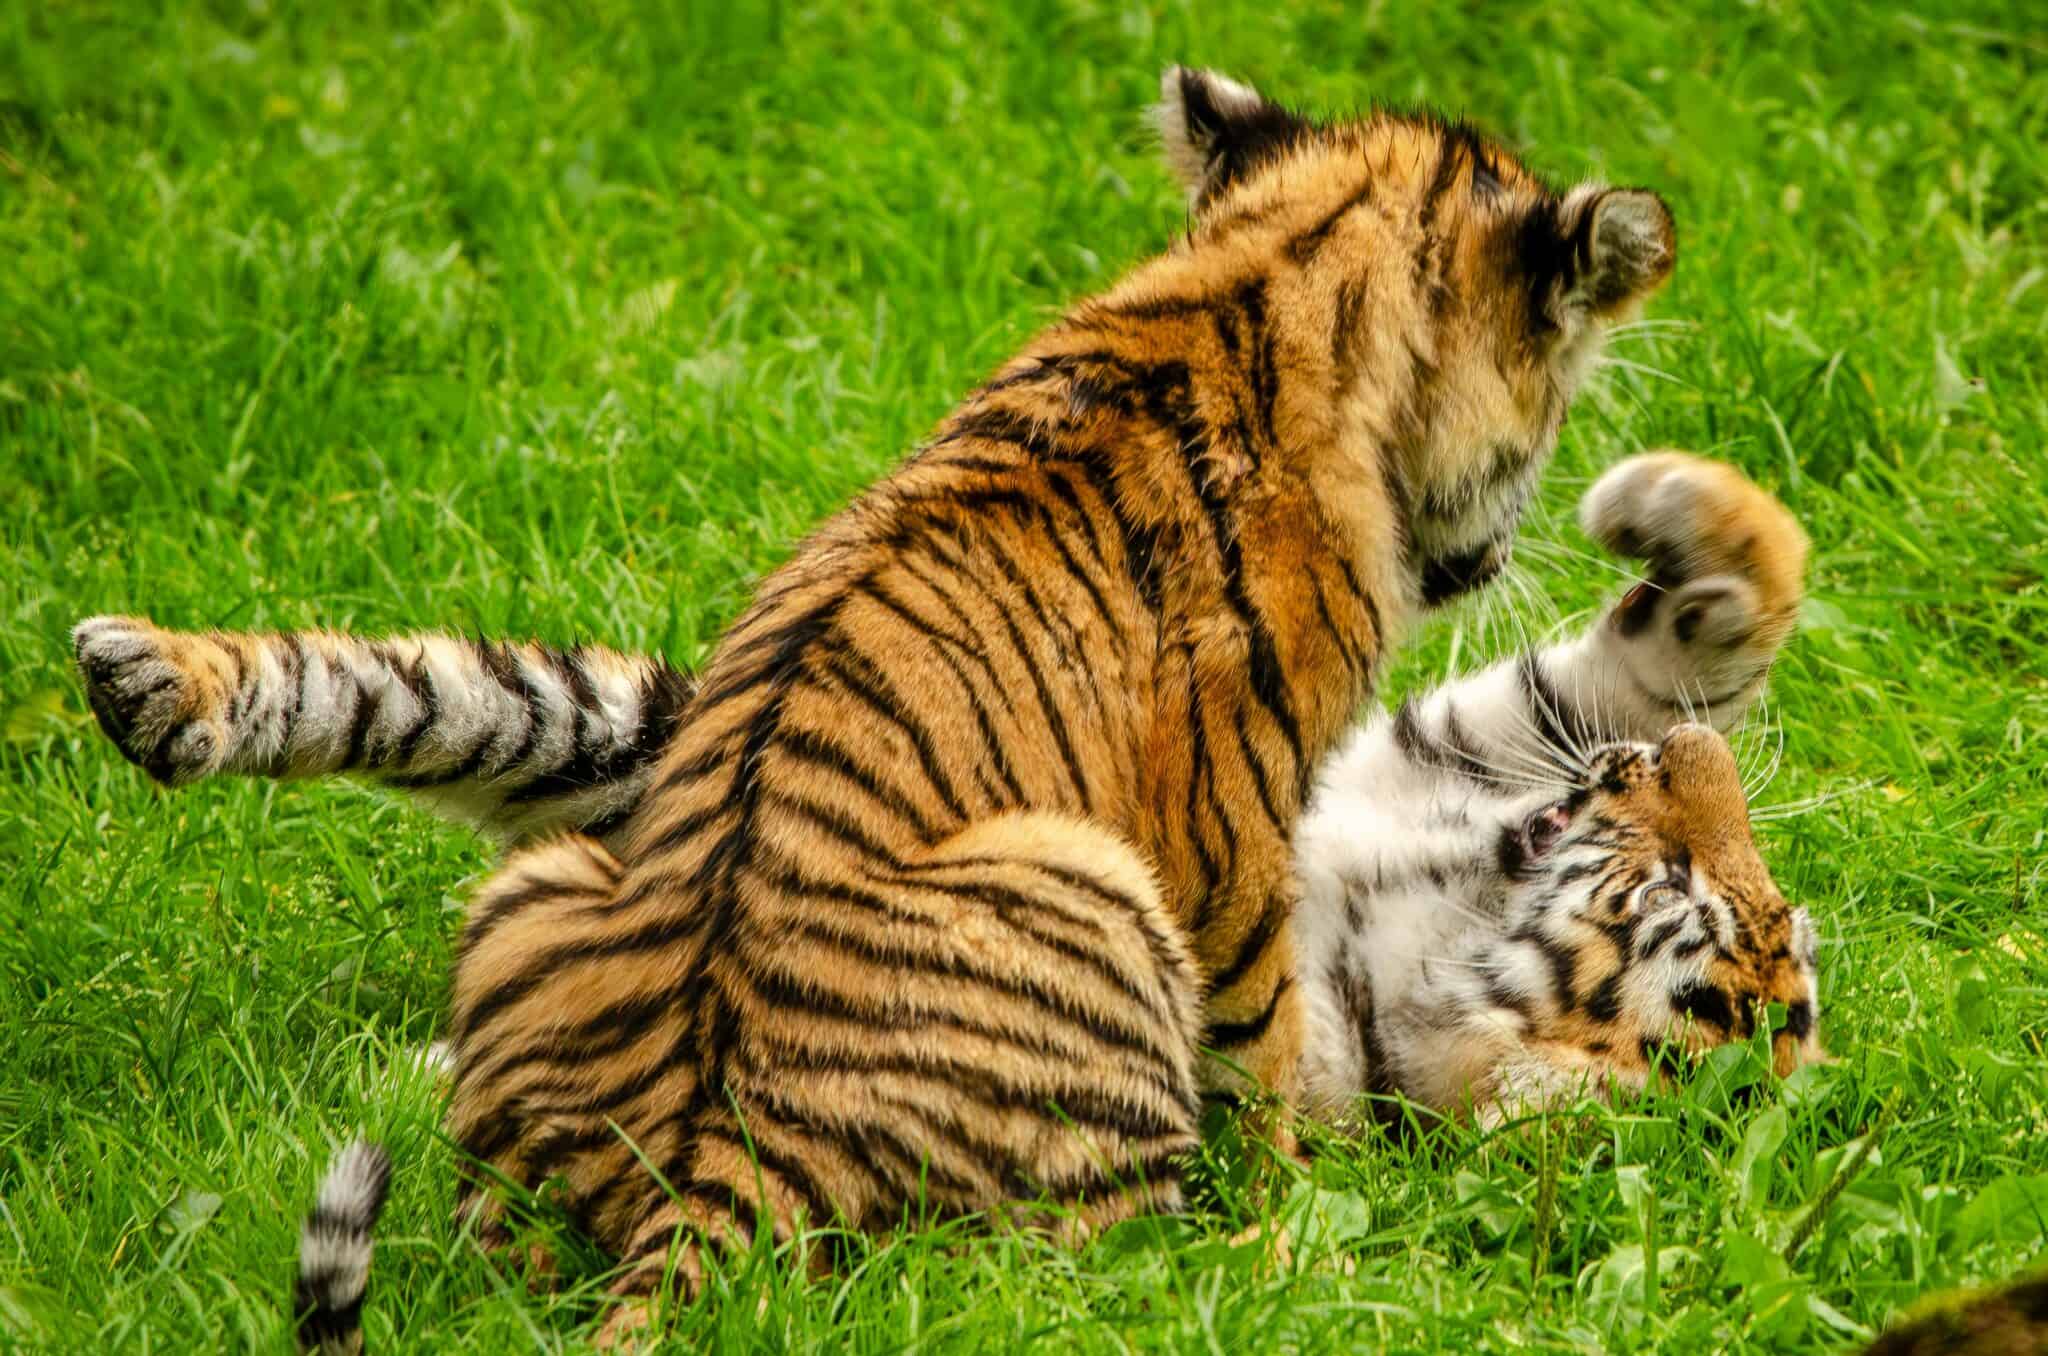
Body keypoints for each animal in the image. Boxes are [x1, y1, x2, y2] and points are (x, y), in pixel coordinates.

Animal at [71, 66, 1685, 1338]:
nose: (1492, 559)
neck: (1258, 282)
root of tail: (718, 1156)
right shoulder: (1228, 841)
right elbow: (1269, 1056)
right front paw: (1308, 1214)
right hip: (1090, 887)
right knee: (1087, 1257)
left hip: (539, 901)